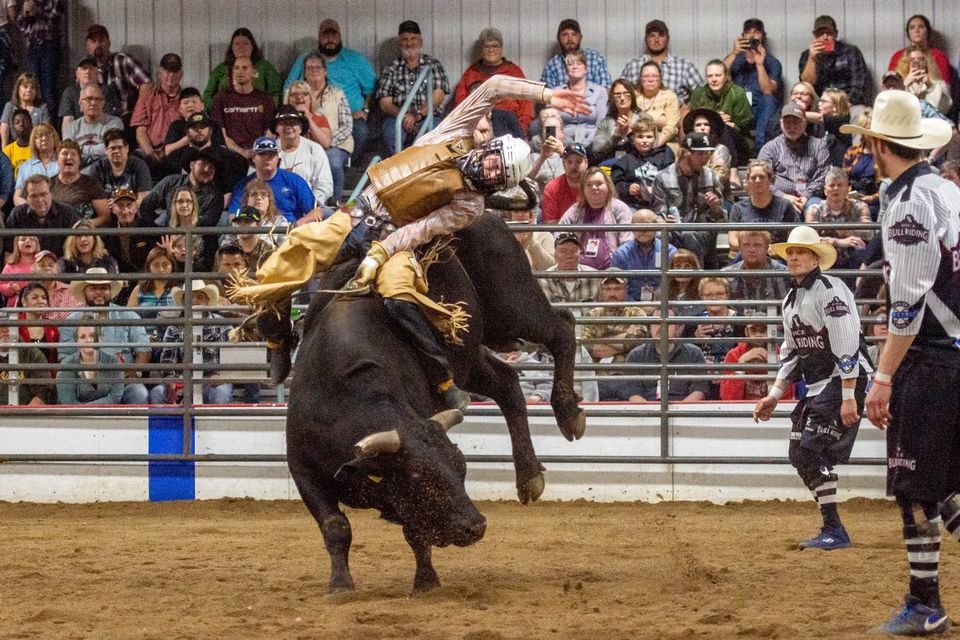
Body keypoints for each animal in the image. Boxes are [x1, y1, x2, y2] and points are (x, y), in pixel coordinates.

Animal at [286, 212, 585, 593]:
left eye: (461, 468)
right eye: (417, 475)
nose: (475, 525)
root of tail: (489, 216)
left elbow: (416, 532)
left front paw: (425, 580)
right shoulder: (304, 470)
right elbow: (336, 527)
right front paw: (340, 584)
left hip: (514, 306)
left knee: (561, 328)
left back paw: (568, 413)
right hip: (469, 356)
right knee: (506, 382)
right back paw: (529, 474)